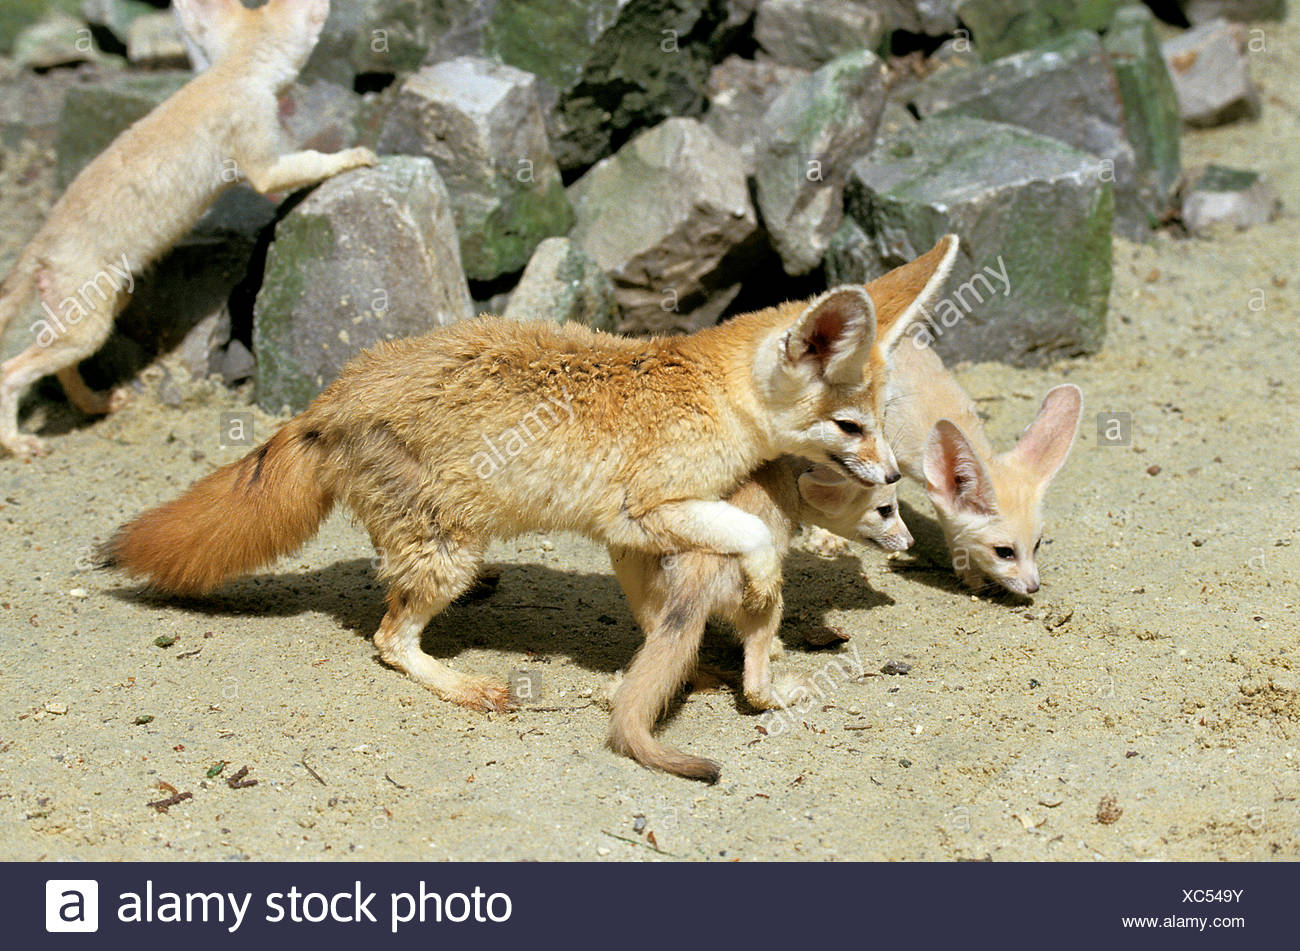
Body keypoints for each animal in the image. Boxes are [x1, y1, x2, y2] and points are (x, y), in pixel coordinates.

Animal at [0, 0, 377, 458]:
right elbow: (307, 162)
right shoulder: (262, 159)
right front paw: (355, 155)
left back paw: (95, 402)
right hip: (85, 324)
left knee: (58, 364)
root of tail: (39, 240)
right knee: (10, 370)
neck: (229, 71)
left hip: (102, 307)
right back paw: (17, 442)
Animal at [98, 282, 902, 713]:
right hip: (446, 553)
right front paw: (762, 582)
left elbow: (653, 611)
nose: (896, 476)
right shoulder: (645, 508)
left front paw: (682, 661)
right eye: (850, 427)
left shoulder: (624, 537)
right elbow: (752, 534)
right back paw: (467, 686)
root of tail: (326, 400)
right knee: (389, 642)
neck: (708, 390)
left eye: (882, 420)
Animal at [604, 235, 958, 781]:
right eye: (886, 511)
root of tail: (695, 575)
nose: (911, 541)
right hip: (770, 603)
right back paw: (781, 686)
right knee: (752, 687)